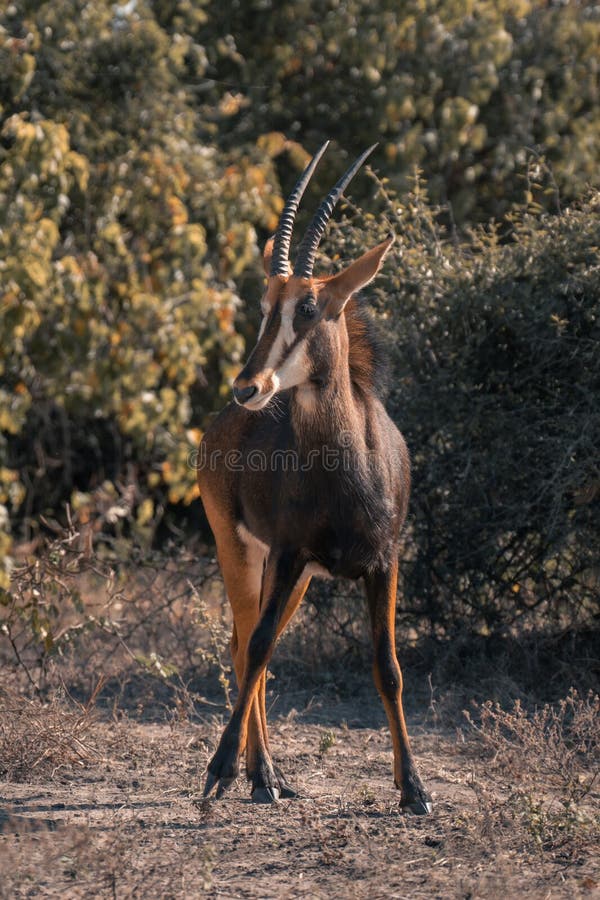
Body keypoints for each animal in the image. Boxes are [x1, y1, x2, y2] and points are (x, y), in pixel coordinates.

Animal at [198, 142, 432, 814]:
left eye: (307, 307)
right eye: (262, 307)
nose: (248, 385)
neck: (348, 469)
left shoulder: (384, 562)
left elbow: (388, 668)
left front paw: (414, 789)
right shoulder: (287, 553)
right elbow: (255, 649)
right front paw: (219, 772)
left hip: (294, 574)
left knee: (258, 646)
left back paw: (270, 776)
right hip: (243, 550)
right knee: (245, 644)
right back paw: (260, 776)